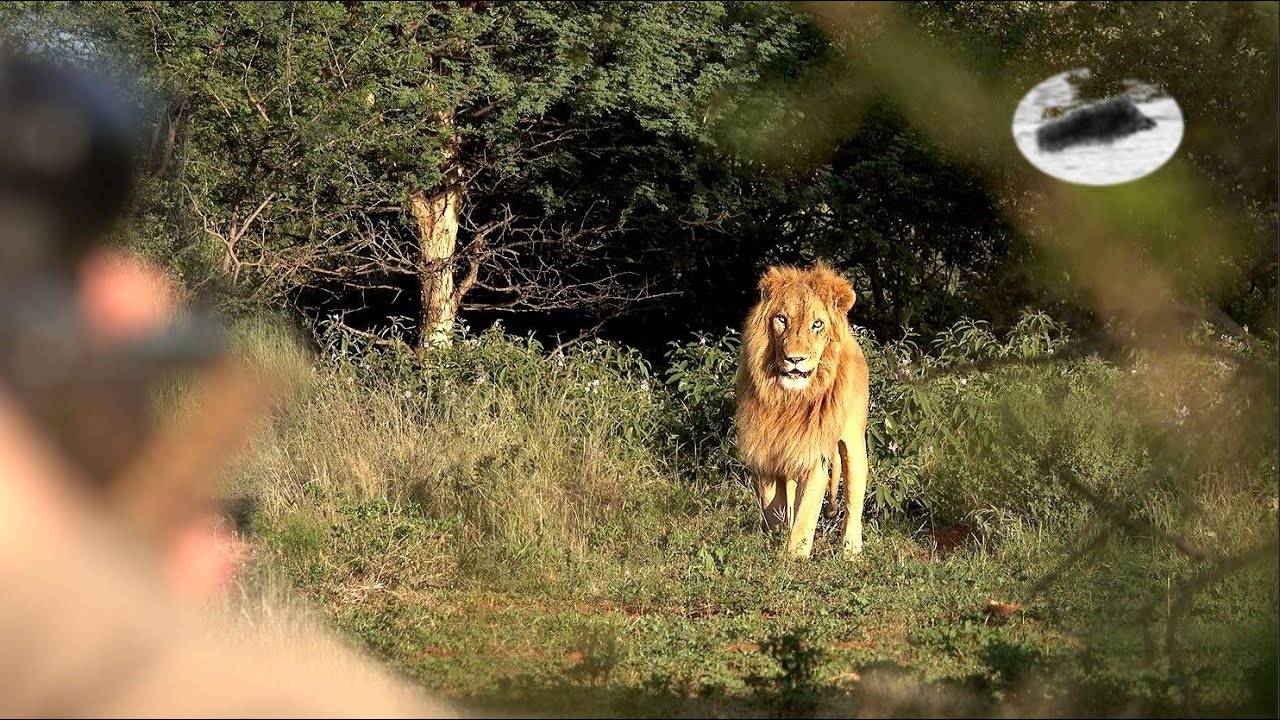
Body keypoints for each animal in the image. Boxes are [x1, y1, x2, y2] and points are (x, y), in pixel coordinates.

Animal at [735, 262, 871, 559]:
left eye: (816, 324)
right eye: (782, 319)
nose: (794, 359)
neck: (789, 400)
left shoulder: (814, 456)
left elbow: (806, 514)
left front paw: (793, 558)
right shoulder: (767, 454)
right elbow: (773, 508)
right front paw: (774, 540)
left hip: (853, 444)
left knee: (853, 500)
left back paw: (851, 551)